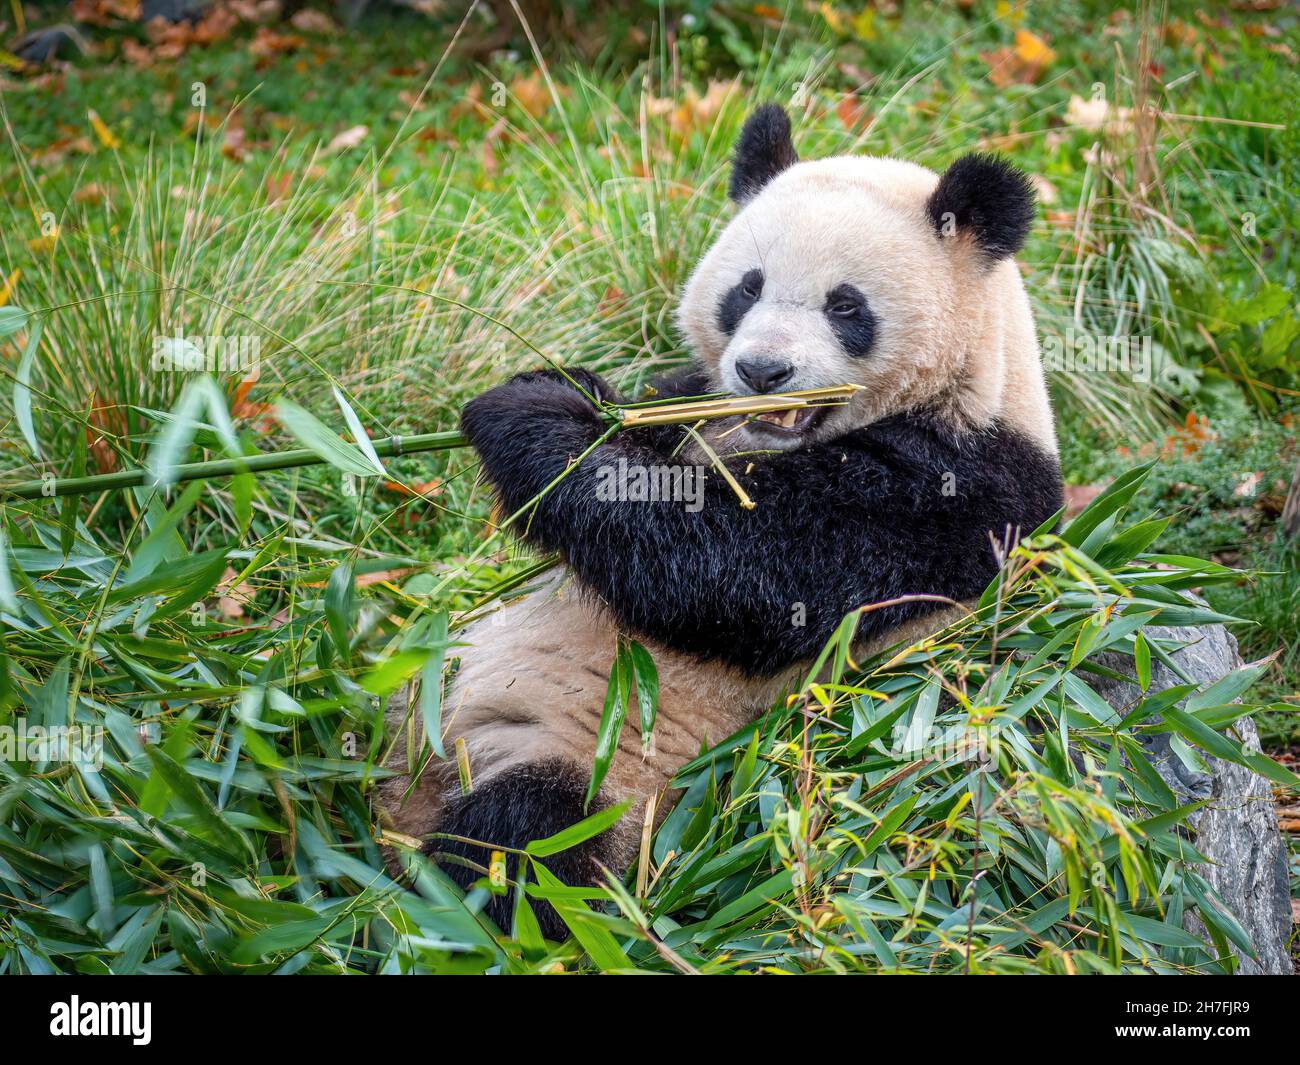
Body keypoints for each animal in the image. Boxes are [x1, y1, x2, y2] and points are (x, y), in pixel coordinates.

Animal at [380, 105, 1064, 938]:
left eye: (846, 305)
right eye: (747, 287)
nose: (761, 371)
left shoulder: (960, 490)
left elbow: (743, 572)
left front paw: (530, 418)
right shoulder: (694, 404)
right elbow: (659, 424)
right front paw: (567, 383)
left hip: (607, 768)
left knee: (523, 847)